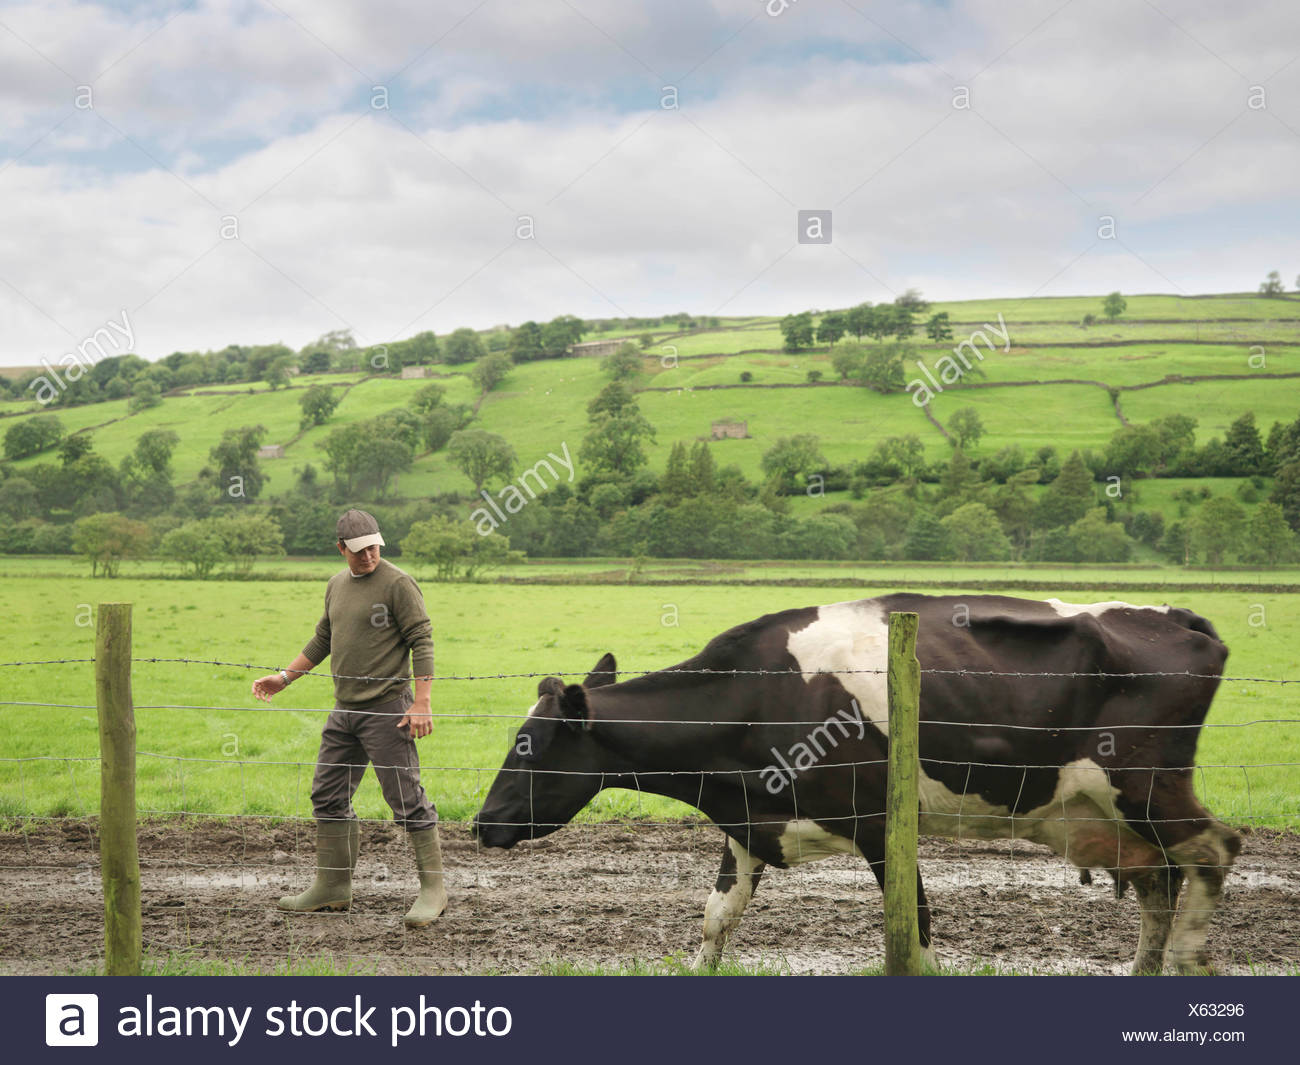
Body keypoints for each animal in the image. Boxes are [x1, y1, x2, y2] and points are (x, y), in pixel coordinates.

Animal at [472, 595, 1241, 974]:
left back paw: (1189, 961)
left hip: (1145, 784)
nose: (482, 823)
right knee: (1158, 881)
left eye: (527, 747)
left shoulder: (877, 824)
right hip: (1113, 813)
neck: (757, 698)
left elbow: (918, 930)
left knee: (1215, 850)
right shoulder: (749, 821)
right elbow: (716, 919)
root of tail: (1179, 617)